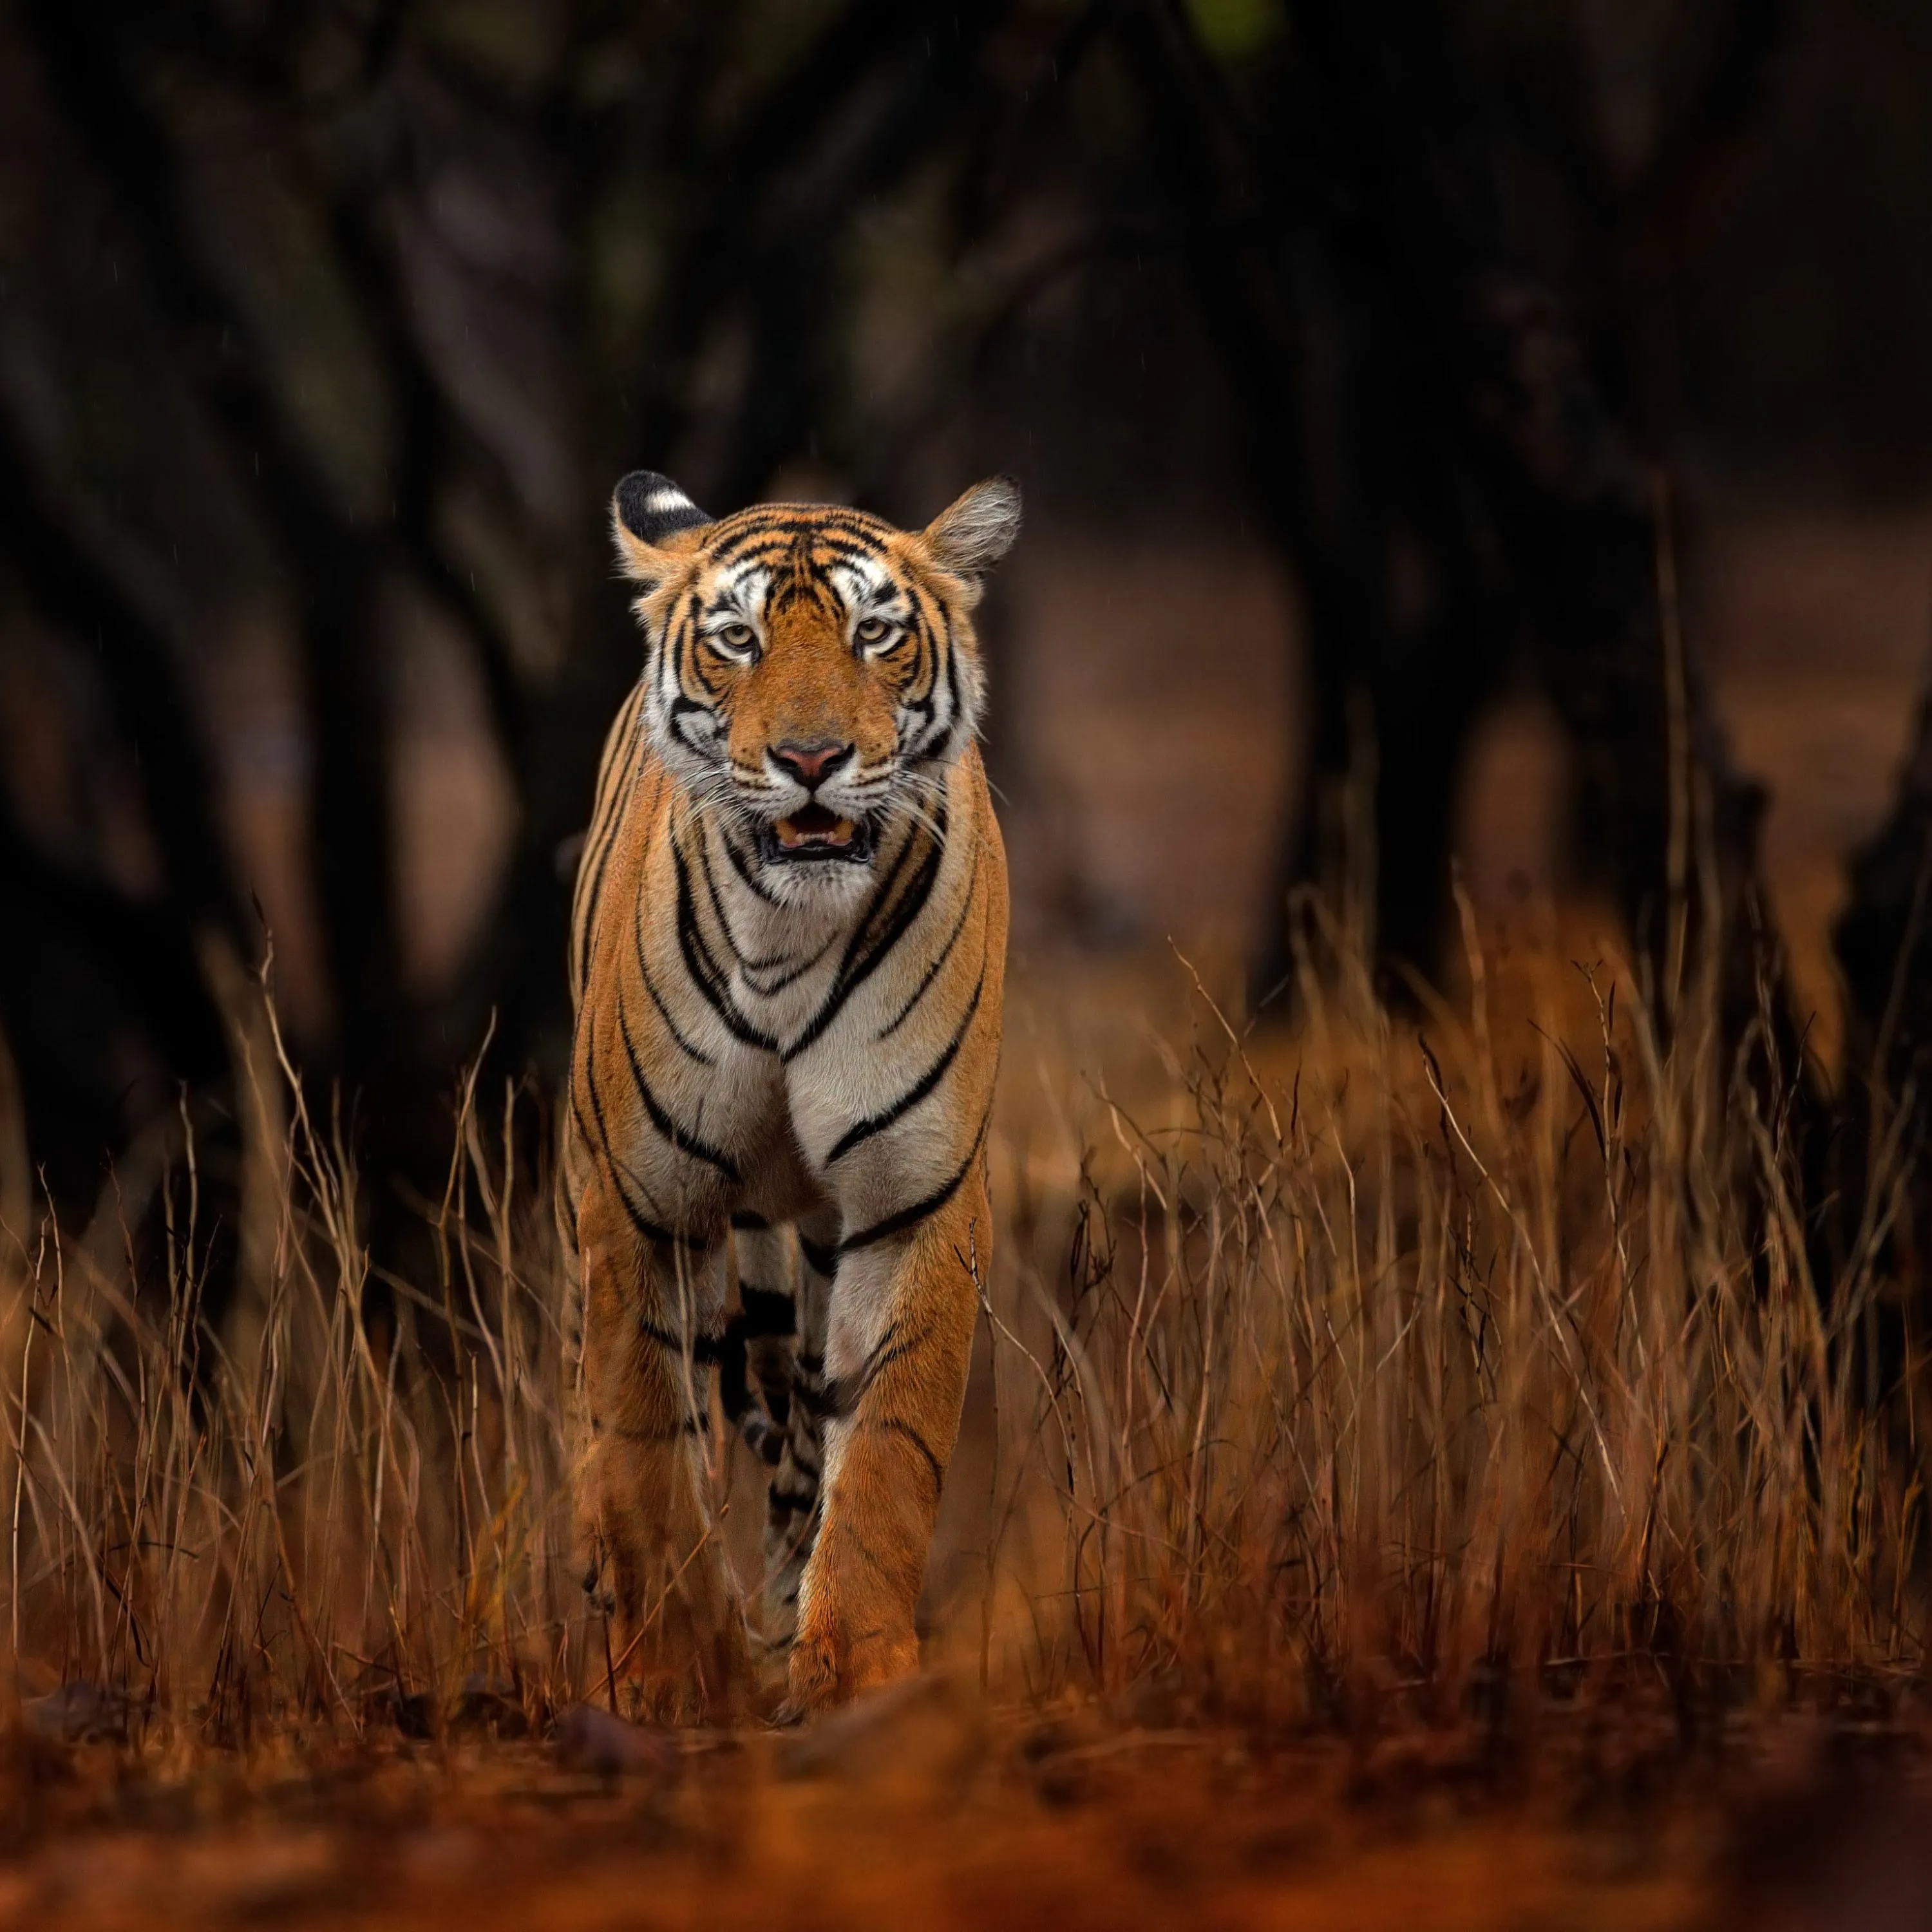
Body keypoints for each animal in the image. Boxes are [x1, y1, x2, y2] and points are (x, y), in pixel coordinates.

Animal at [557, 467, 1019, 1722]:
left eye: (874, 634)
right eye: (738, 640)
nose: (812, 759)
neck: (790, 937)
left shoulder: (914, 1199)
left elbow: (889, 1451)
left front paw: (852, 1670)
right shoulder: (642, 1199)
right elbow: (645, 1436)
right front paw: (667, 1670)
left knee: (806, 1432)